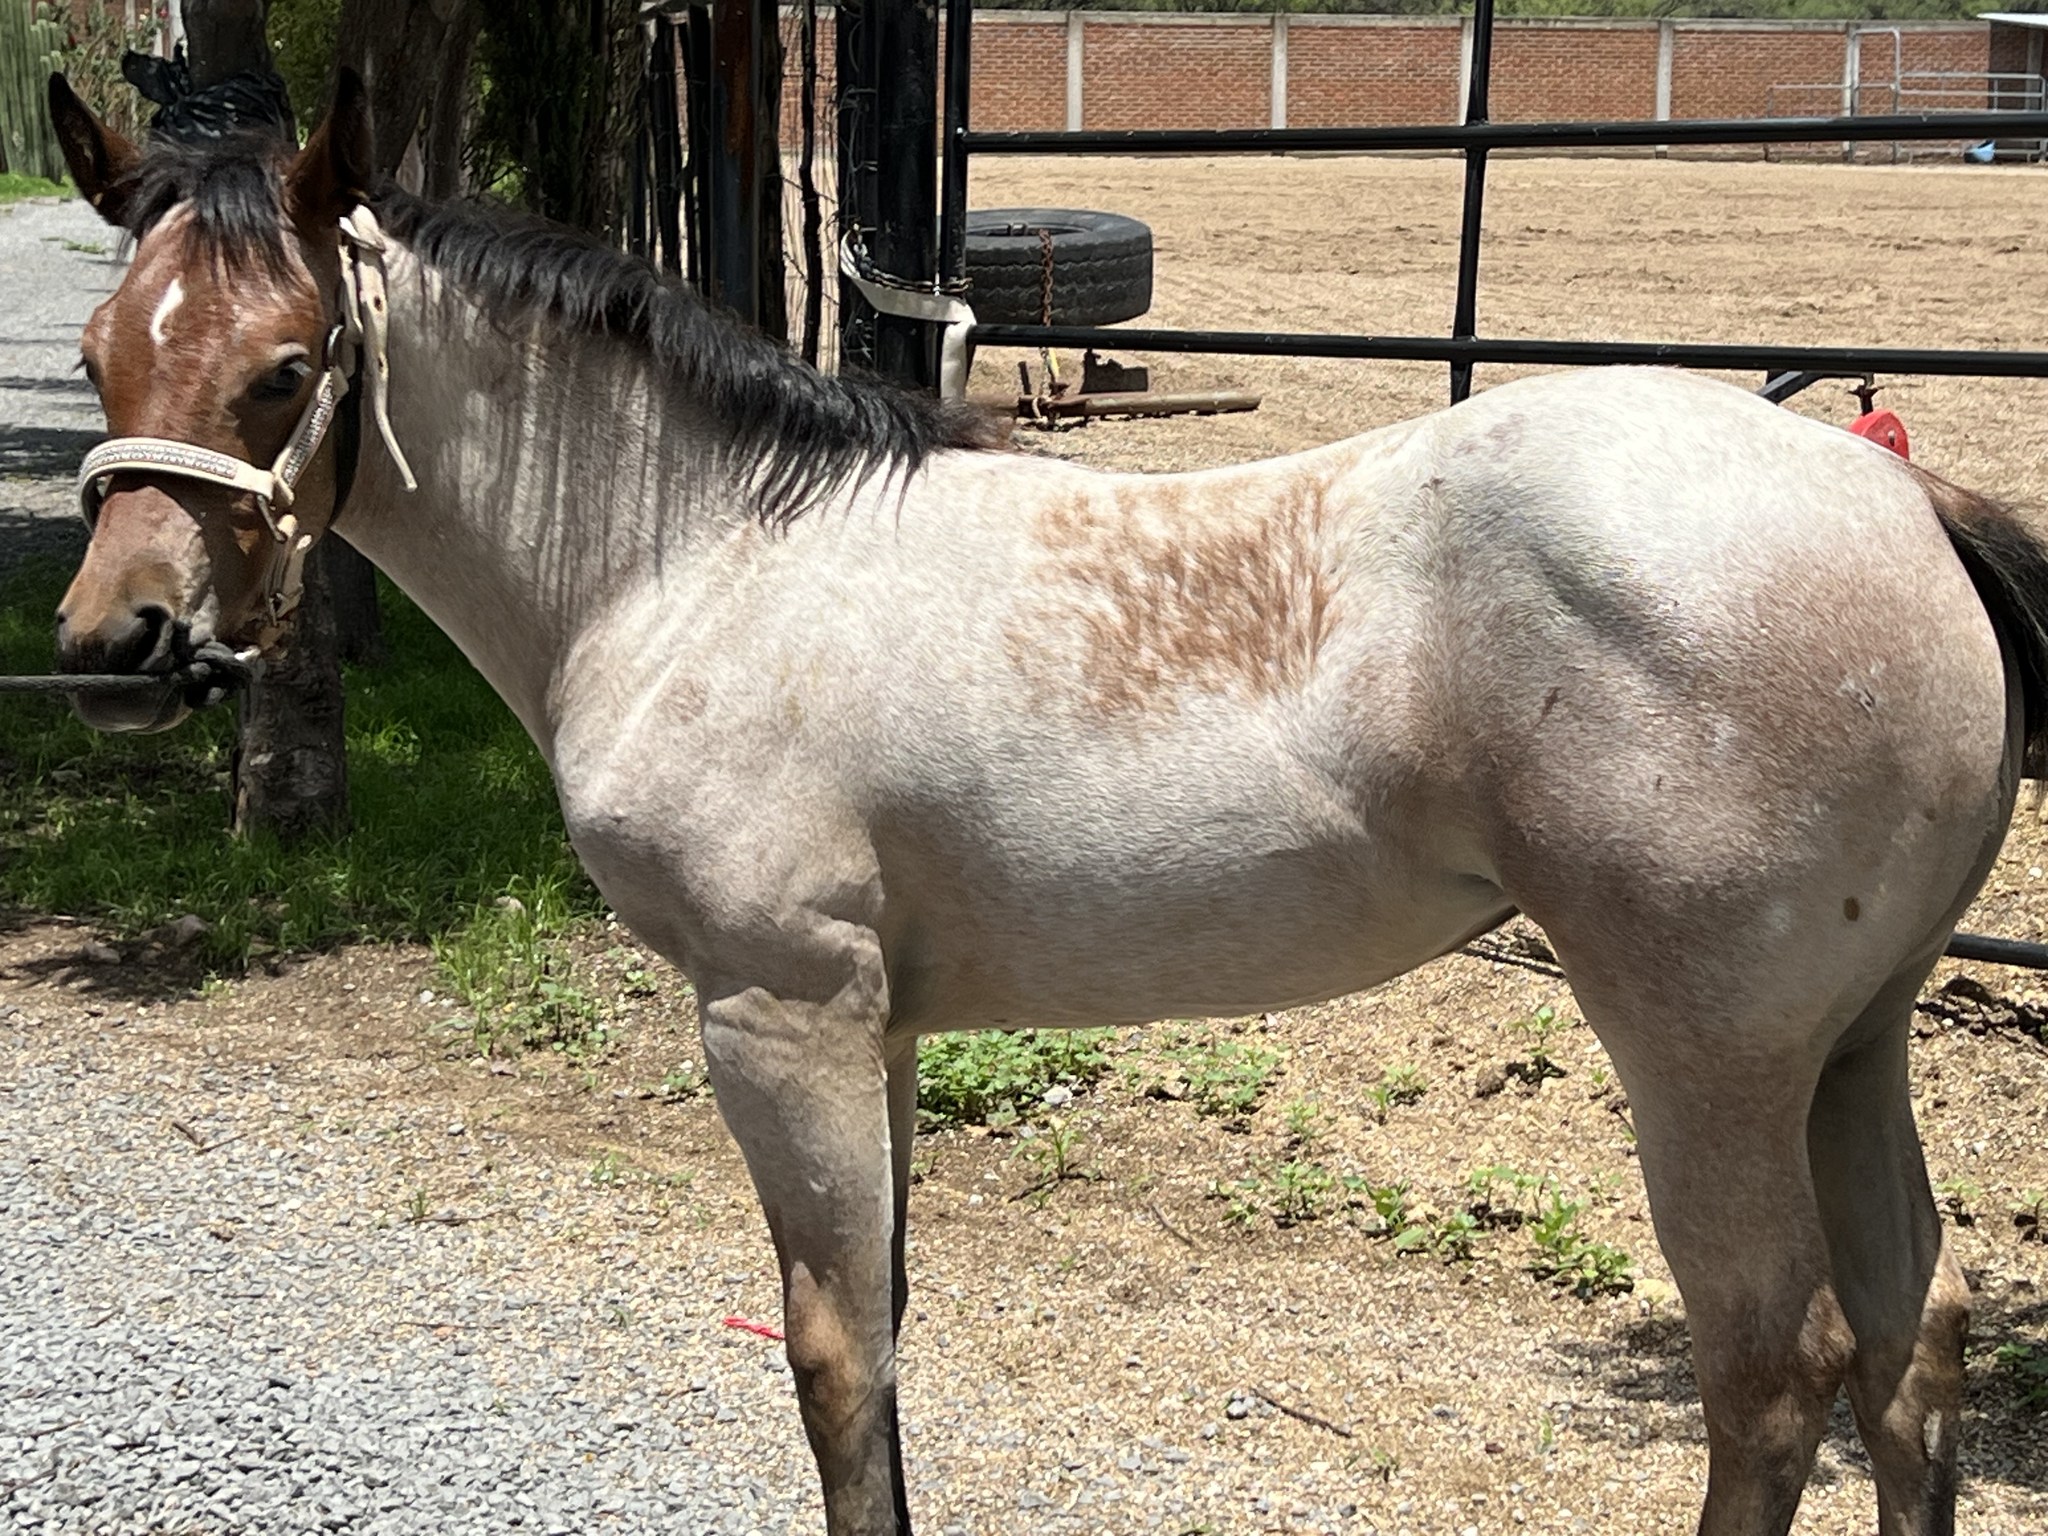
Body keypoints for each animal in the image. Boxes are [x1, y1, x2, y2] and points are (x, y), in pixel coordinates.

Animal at [46, 70, 2048, 1536]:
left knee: (1773, 1373)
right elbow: (883, 1328)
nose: (113, 645)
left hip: (1703, 1056)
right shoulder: (875, 1026)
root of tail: (1899, 500)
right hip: (1851, 1040)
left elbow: (830, 1356)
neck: (697, 556)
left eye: (284, 368)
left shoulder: (773, 1014)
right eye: (94, 356)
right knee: (1912, 1344)